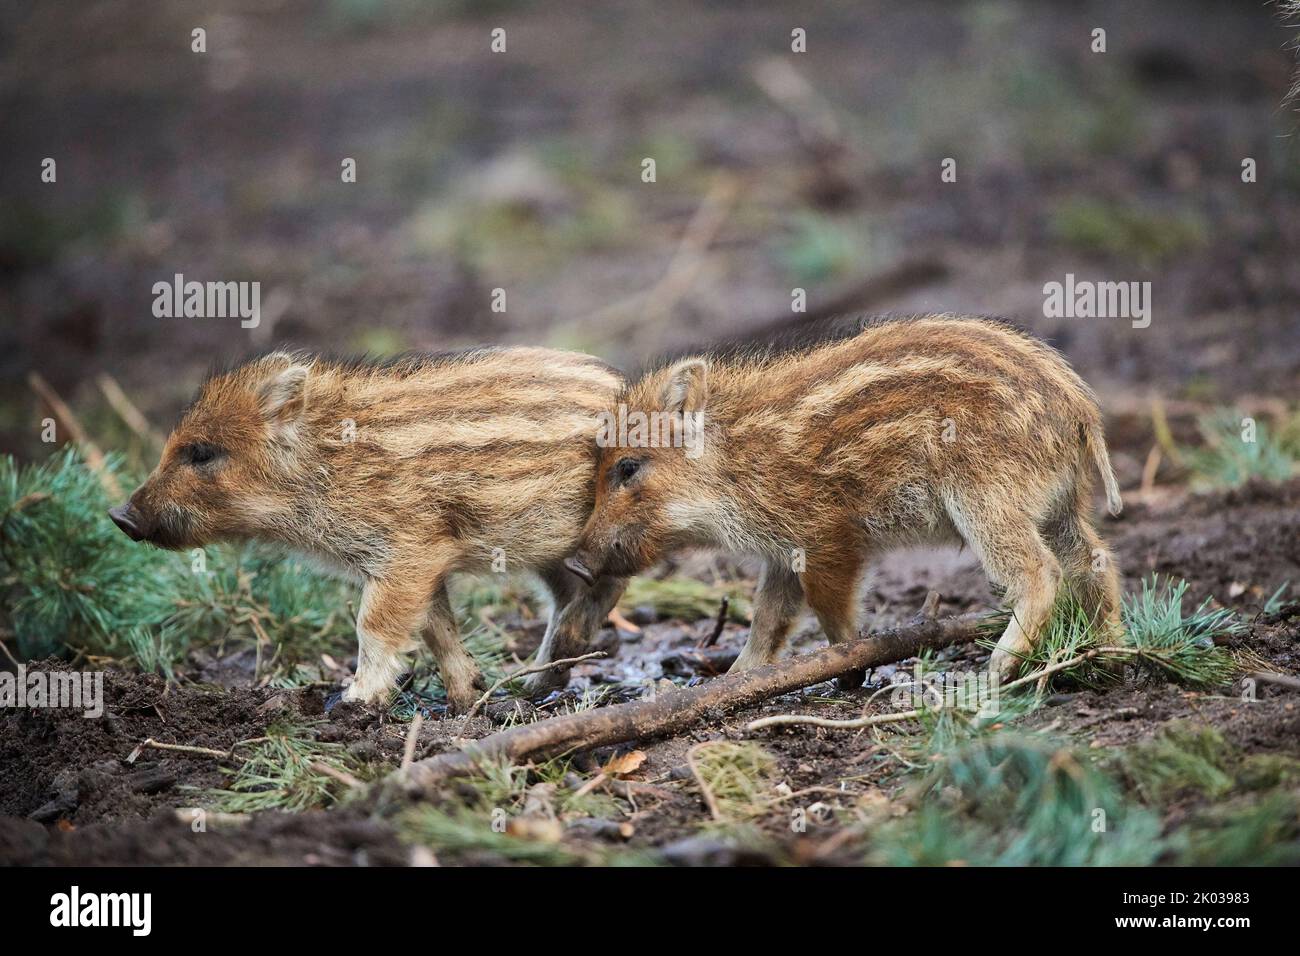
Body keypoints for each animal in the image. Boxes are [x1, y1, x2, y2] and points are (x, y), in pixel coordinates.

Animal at [109, 348, 627, 711]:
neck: (324, 466)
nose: (120, 516)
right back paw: (535, 683)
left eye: (202, 453)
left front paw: (352, 703)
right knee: (571, 595)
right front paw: (466, 697)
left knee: (608, 584)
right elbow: (437, 626)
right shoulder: (419, 563)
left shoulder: (408, 551)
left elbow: (374, 624)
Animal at [565, 316, 1123, 683]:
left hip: (986, 495)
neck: (738, 460)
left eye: (627, 467)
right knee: (1094, 558)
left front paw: (849, 669)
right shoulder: (784, 552)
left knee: (1038, 569)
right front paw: (736, 678)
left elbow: (829, 610)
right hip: (1058, 504)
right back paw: (1108, 651)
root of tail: (1080, 410)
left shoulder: (826, 536)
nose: (575, 561)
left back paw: (998, 667)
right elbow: (769, 616)